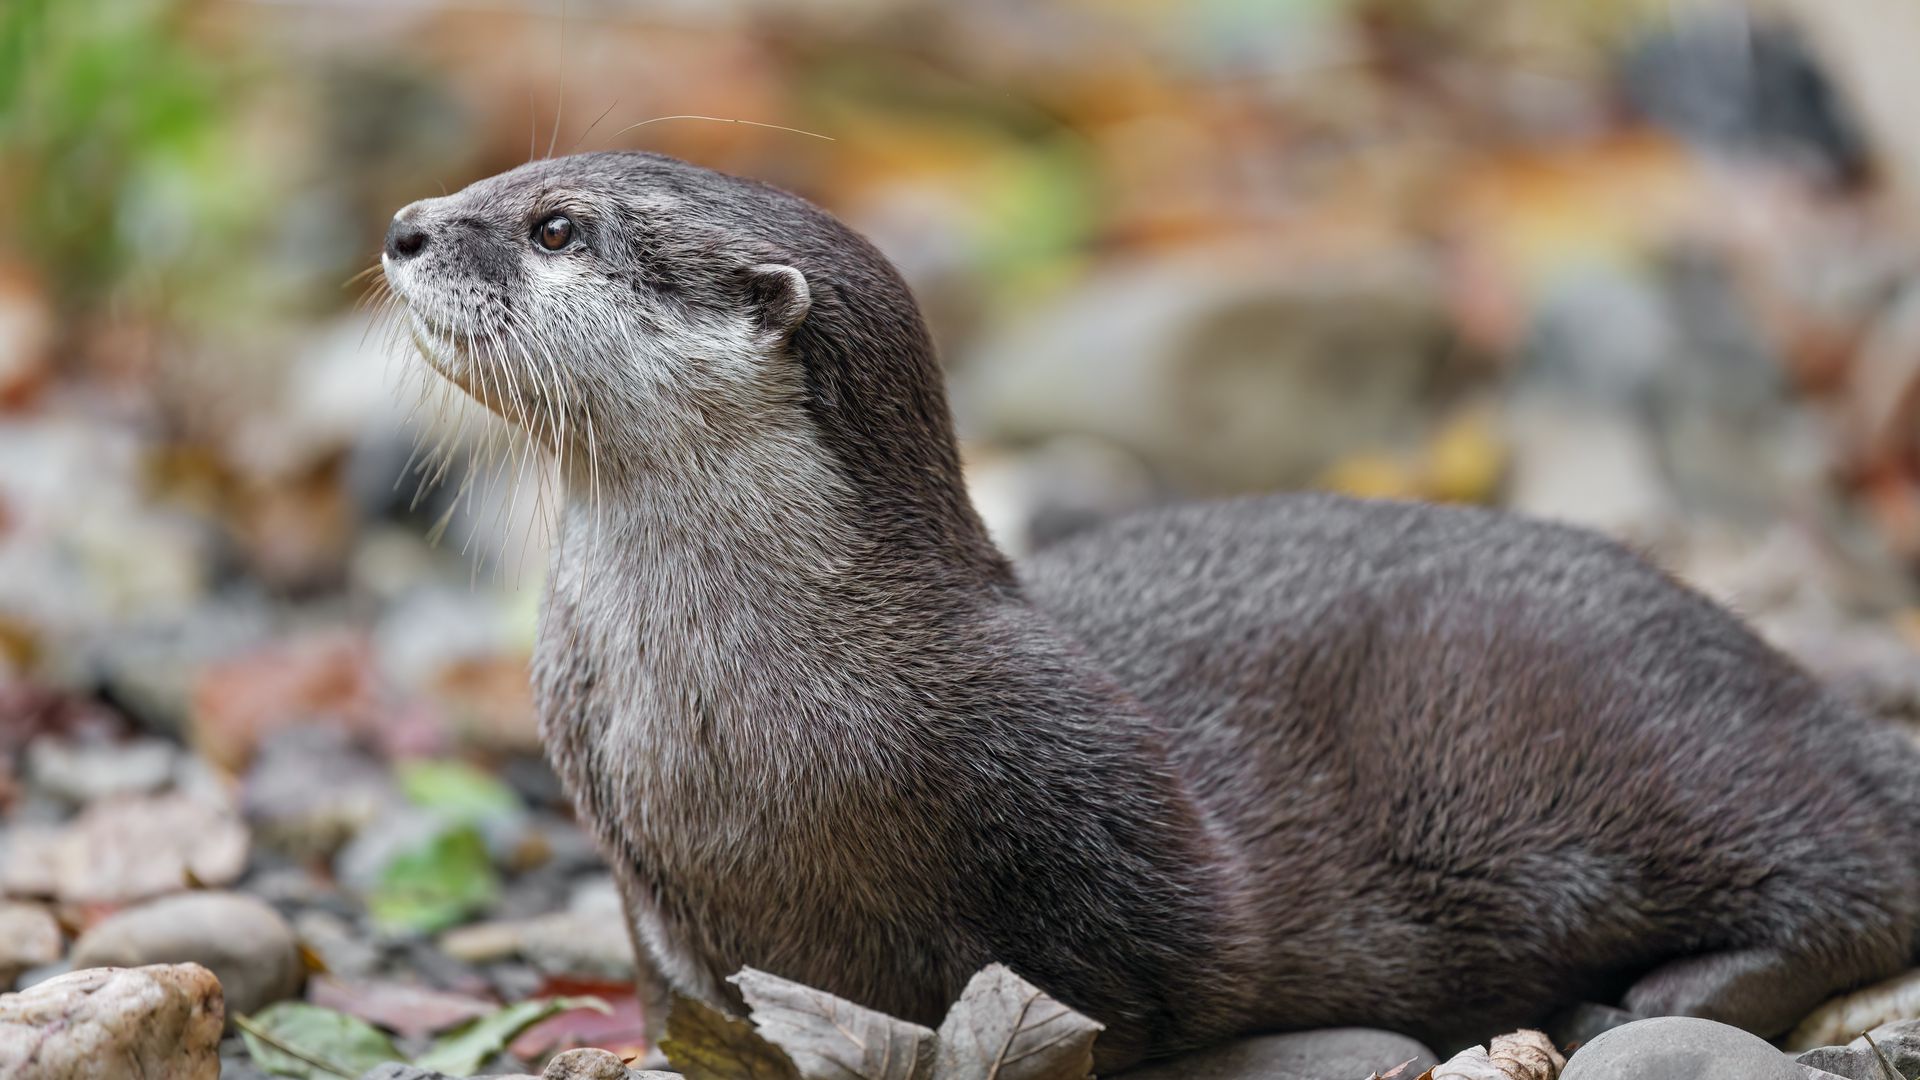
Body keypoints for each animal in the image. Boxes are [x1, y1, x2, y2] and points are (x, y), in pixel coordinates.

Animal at [379, 150, 1920, 1071]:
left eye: (554, 227)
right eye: (520, 180)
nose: (401, 227)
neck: (727, 725)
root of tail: (1796, 688)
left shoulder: (1092, 799)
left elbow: (1169, 970)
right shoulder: (639, 860)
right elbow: (683, 993)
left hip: (1672, 751)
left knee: (1852, 870)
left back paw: (1658, 998)